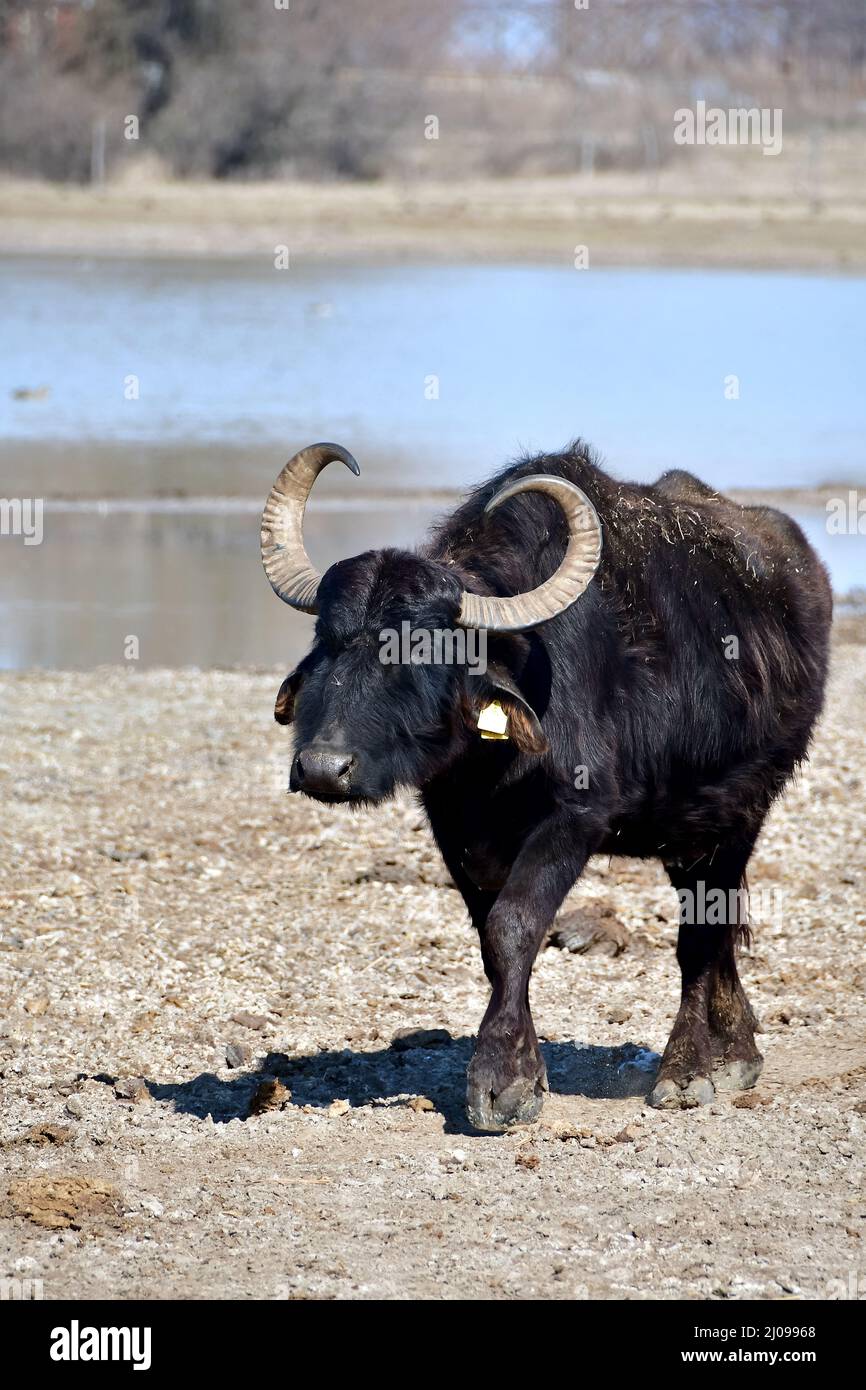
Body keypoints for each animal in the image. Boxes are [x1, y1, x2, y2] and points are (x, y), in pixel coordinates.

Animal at [261, 440, 831, 1131]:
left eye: (421, 649)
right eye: (328, 642)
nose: (323, 767)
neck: (491, 767)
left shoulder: (574, 819)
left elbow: (515, 925)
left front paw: (499, 1084)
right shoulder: (456, 829)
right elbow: (492, 939)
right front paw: (522, 1070)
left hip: (742, 809)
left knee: (701, 933)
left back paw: (689, 1069)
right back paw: (736, 1052)